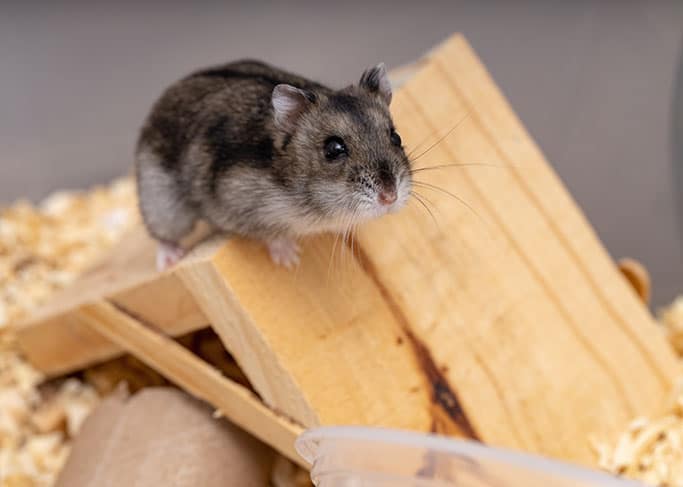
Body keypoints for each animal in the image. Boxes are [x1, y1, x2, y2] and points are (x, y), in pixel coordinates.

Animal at [135, 60, 412, 270]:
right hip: (162, 204)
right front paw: (290, 259)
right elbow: (270, 232)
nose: (390, 197)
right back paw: (169, 260)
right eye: (333, 149)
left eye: (396, 137)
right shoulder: (239, 201)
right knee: (163, 234)